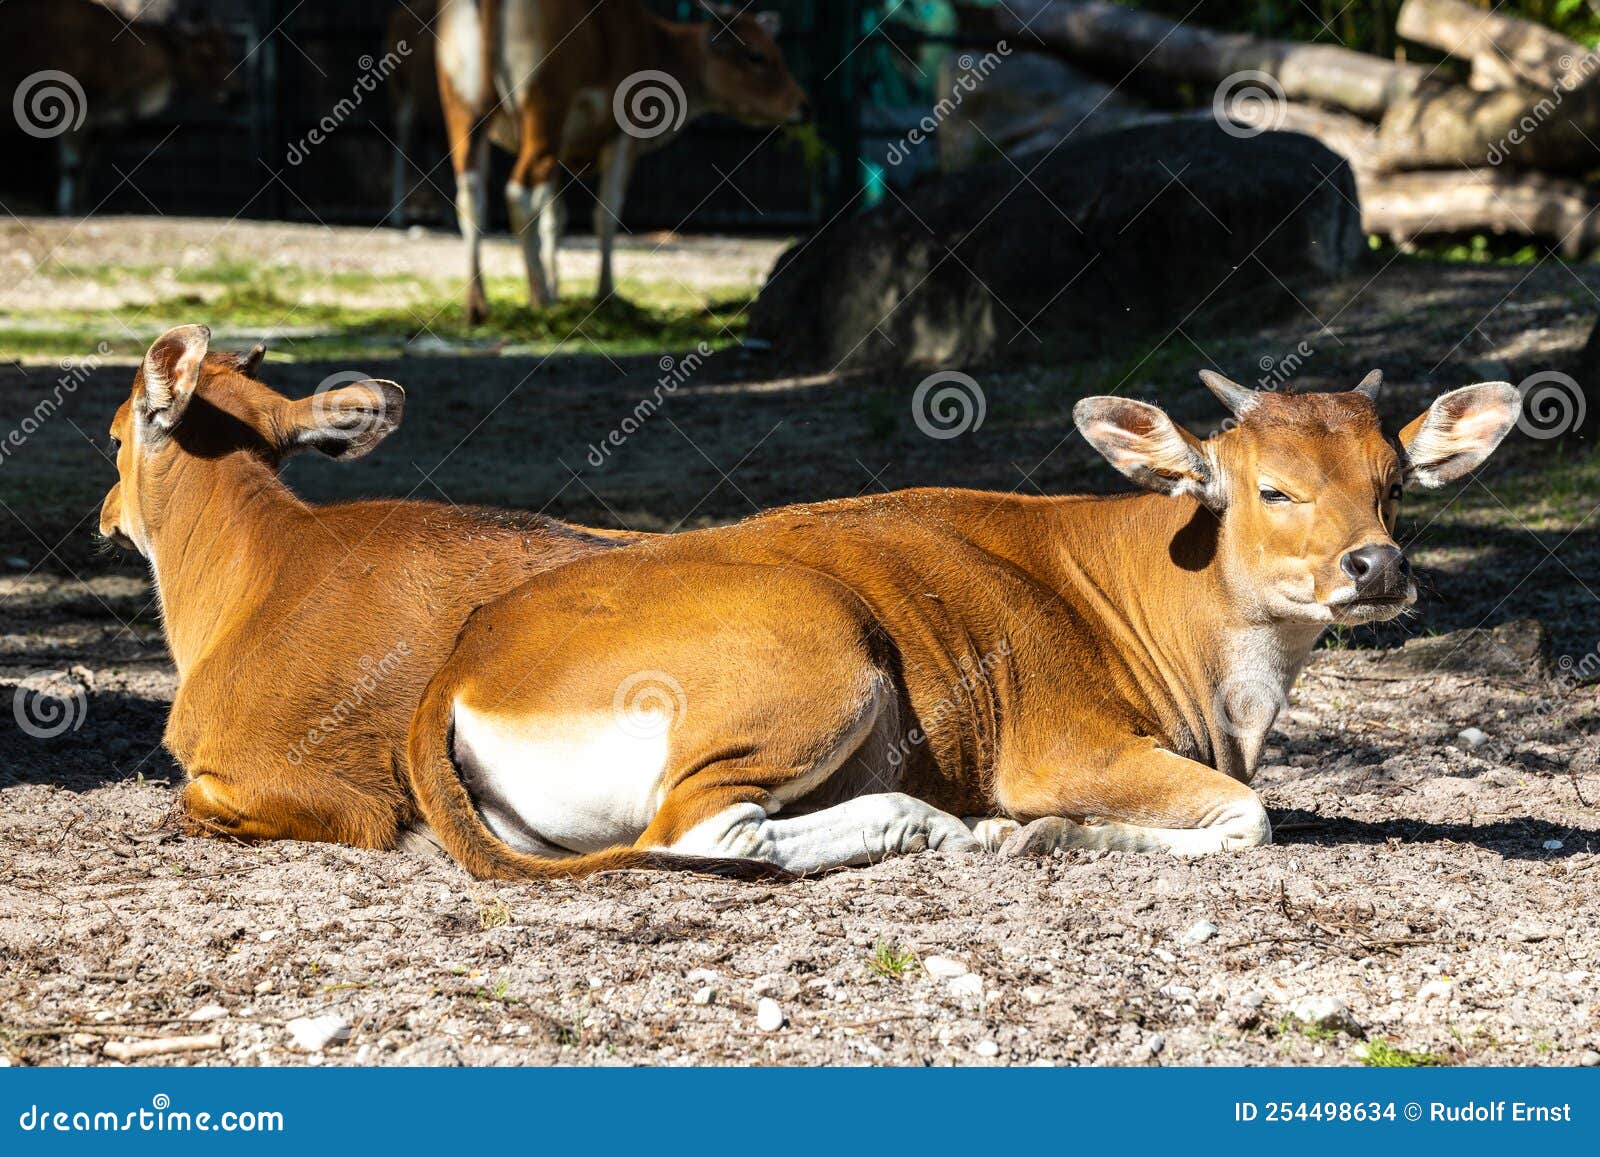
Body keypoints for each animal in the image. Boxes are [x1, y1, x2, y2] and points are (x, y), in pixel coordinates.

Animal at [0, 0, 236, 215]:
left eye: (227, 50)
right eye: (206, 52)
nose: (236, 92)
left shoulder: (100, 121)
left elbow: (87, 163)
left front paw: (83, 204)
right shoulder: (76, 114)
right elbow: (72, 165)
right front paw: (65, 208)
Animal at [406, 373, 1523, 879]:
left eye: (1393, 484)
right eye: (1273, 487)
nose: (1377, 567)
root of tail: (461, 663)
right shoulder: (1063, 746)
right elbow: (1250, 817)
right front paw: (1055, 832)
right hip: (827, 650)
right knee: (700, 828)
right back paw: (942, 823)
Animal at [435, 0, 809, 322]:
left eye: (778, 53)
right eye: (757, 55)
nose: (801, 104)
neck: (652, 43)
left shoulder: (562, 152)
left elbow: (555, 218)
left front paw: (559, 286)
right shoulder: (623, 134)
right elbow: (606, 213)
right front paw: (604, 294)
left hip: (463, 109)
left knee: (471, 197)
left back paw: (478, 304)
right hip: (545, 111)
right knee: (518, 193)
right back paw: (539, 296)